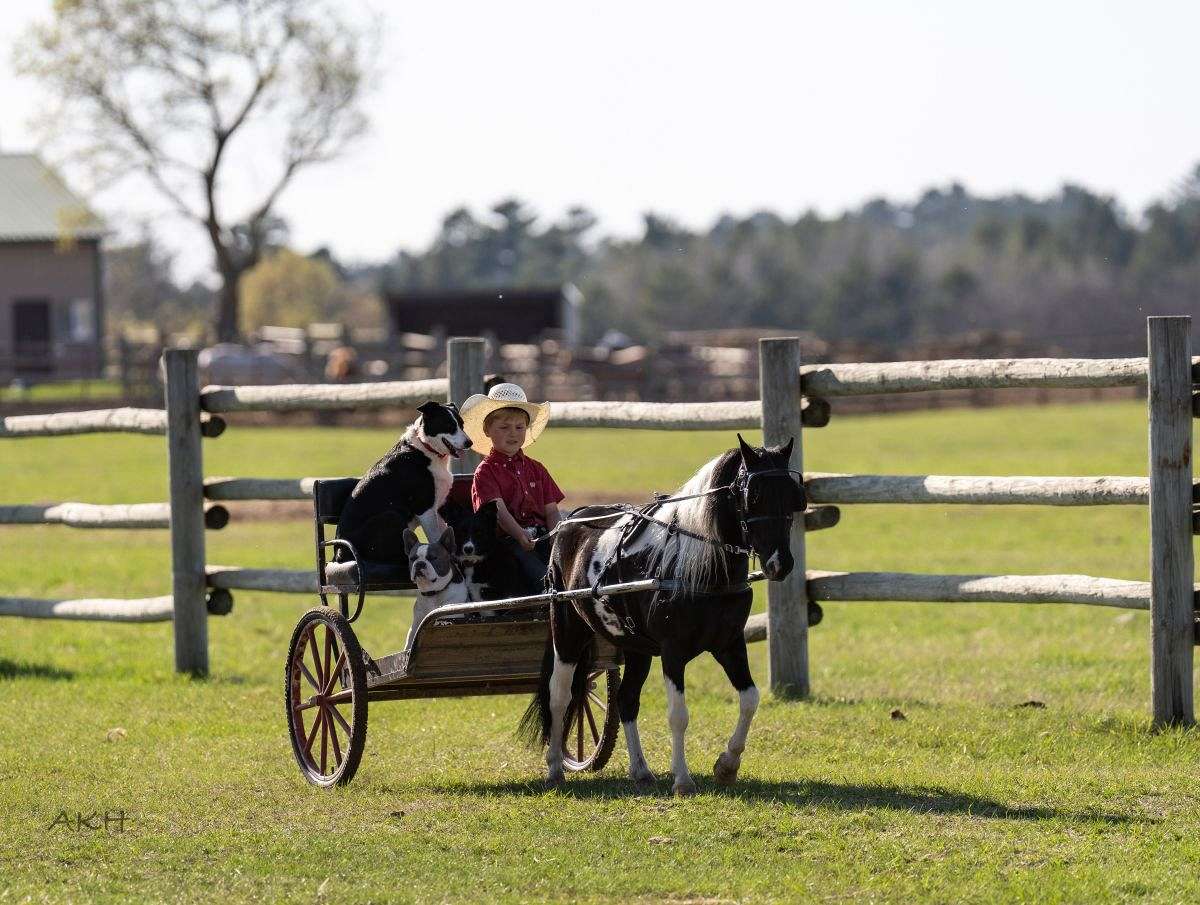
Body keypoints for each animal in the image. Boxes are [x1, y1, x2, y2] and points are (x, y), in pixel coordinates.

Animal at [518, 434, 804, 795]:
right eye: (754, 497)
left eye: (794, 497)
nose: (781, 563)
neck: (698, 565)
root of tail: (572, 520)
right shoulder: (673, 652)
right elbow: (678, 715)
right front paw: (682, 779)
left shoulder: (729, 644)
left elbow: (750, 699)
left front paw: (727, 765)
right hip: (567, 632)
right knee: (560, 695)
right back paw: (555, 768)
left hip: (636, 648)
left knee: (626, 700)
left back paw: (640, 770)